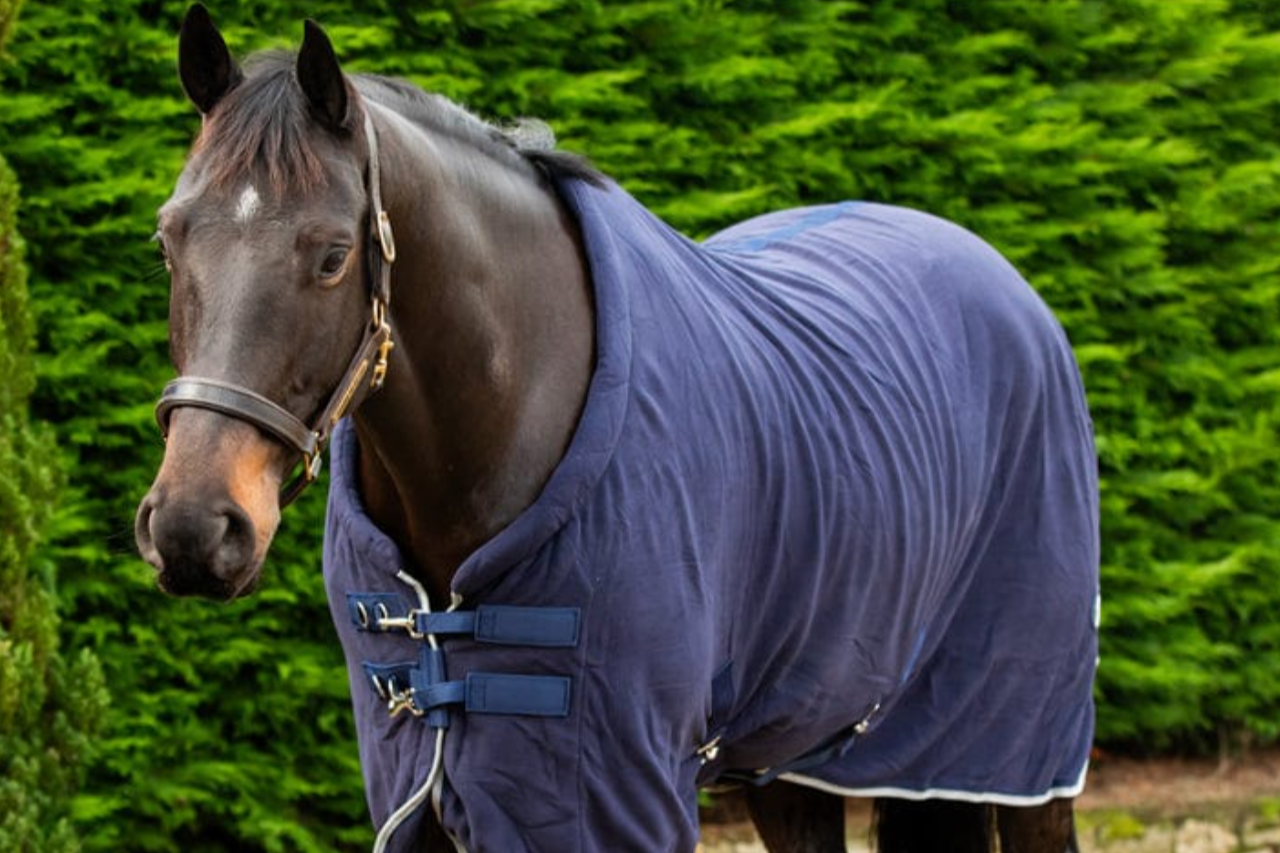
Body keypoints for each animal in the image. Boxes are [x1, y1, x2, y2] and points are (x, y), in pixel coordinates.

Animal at [135, 6, 1099, 852]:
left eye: (333, 256)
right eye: (166, 240)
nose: (193, 527)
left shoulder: (606, 786)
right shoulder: (421, 782)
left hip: (1013, 744)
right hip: (801, 748)